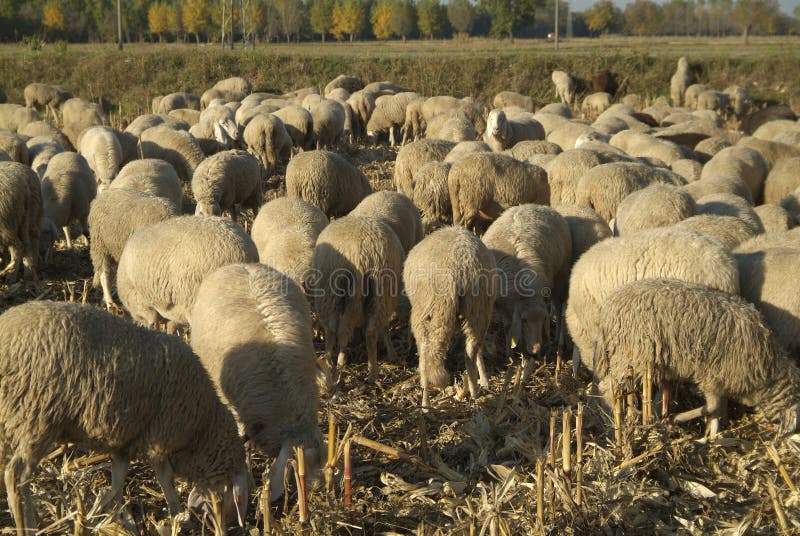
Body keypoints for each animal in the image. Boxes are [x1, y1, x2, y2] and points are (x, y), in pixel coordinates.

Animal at [0, 300, 249, 531]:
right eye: (237, 500)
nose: (234, 527)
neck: (203, 426)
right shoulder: (159, 439)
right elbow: (165, 479)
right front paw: (177, 515)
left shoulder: (124, 443)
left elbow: (117, 482)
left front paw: (114, 516)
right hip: (37, 417)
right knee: (16, 475)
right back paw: (28, 526)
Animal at [310, 215, 404, 381]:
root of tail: (364, 253)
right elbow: (385, 327)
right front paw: (392, 355)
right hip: (381, 292)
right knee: (371, 332)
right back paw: (372, 373)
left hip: (337, 294)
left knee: (337, 330)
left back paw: (336, 364)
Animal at [403, 226, 497, 406]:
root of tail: (458, 269)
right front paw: (484, 380)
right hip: (478, 308)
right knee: (472, 350)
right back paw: (475, 390)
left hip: (427, 311)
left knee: (427, 355)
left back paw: (426, 403)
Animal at [483, 205, 571, 356]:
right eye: (523, 320)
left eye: (543, 320)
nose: (536, 349)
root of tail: (534, 205)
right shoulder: (502, 303)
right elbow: (508, 327)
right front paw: (510, 354)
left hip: (561, 274)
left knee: (559, 308)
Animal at [595, 278, 800, 436]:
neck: (768, 371)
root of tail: (607, 309)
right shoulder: (712, 377)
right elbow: (712, 406)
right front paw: (673, 419)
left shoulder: (719, 381)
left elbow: (715, 409)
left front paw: (711, 434)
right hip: (632, 356)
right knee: (606, 388)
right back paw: (616, 421)